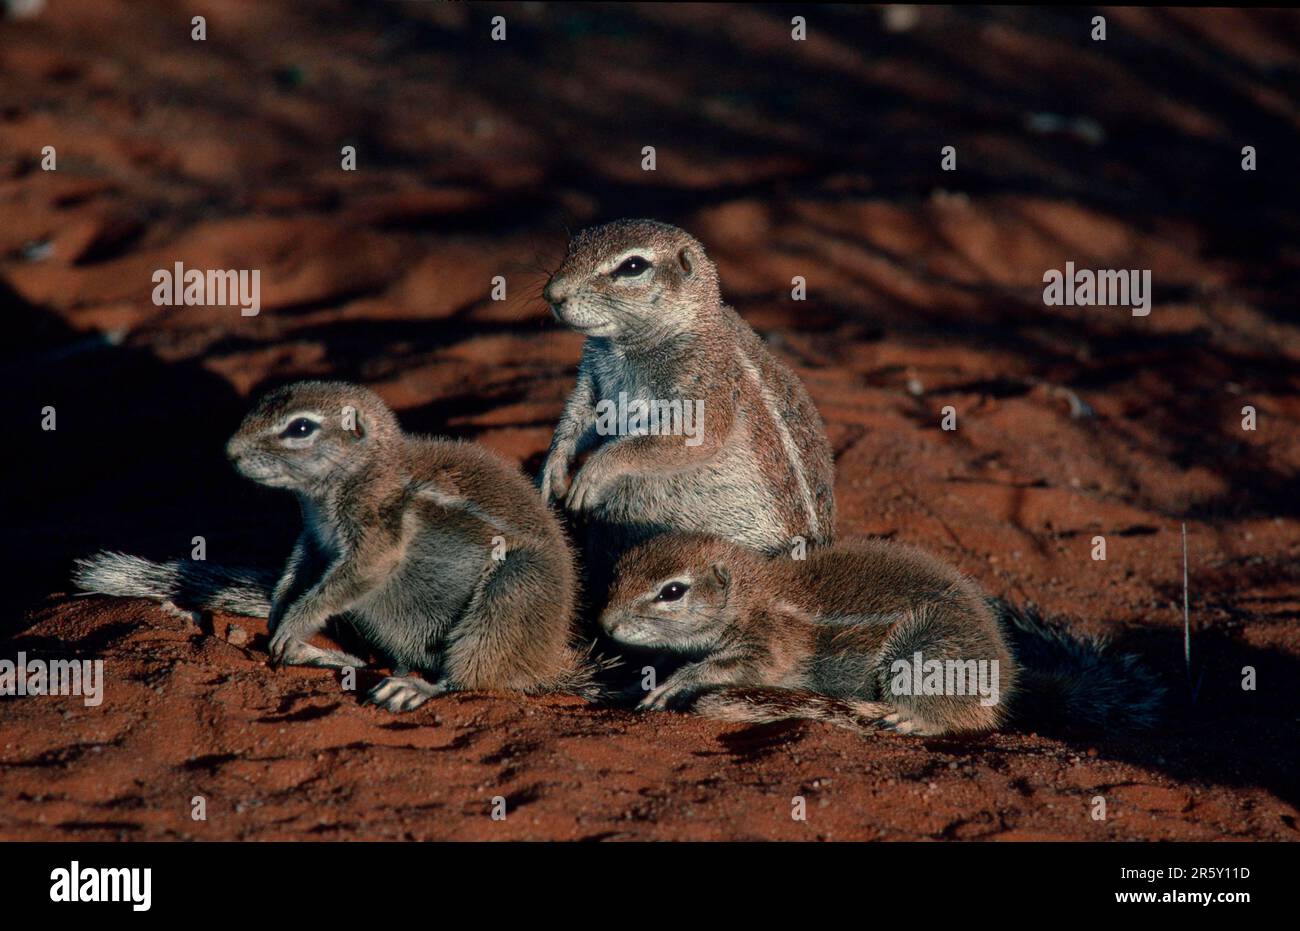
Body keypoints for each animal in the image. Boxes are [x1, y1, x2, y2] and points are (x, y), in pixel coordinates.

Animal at [73, 380, 598, 711]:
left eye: (301, 427)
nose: (230, 452)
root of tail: (548, 657)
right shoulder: (313, 540)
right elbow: (294, 575)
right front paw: (279, 617)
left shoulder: (374, 538)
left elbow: (348, 578)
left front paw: (294, 623)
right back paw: (329, 657)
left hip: (512, 592)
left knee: (471, 675)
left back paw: (416, 688)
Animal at [538, 219, 836, 596]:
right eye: (572, 245)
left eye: (632, 266)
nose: (552, 293)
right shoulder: (593, 381)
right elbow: (576, 419)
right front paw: (553, 470)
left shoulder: (705, 382)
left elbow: (681, 440)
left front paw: (592, 472)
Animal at [599, 533, 1164, 736]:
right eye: (619, 570)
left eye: (672, 591)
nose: (606, 623)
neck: (754, 590)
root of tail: (1011, 682)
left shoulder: (770, 644)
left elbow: (726, 664)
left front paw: (675, 682)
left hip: (920, 657)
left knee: (963, 720)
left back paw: (912, 719)